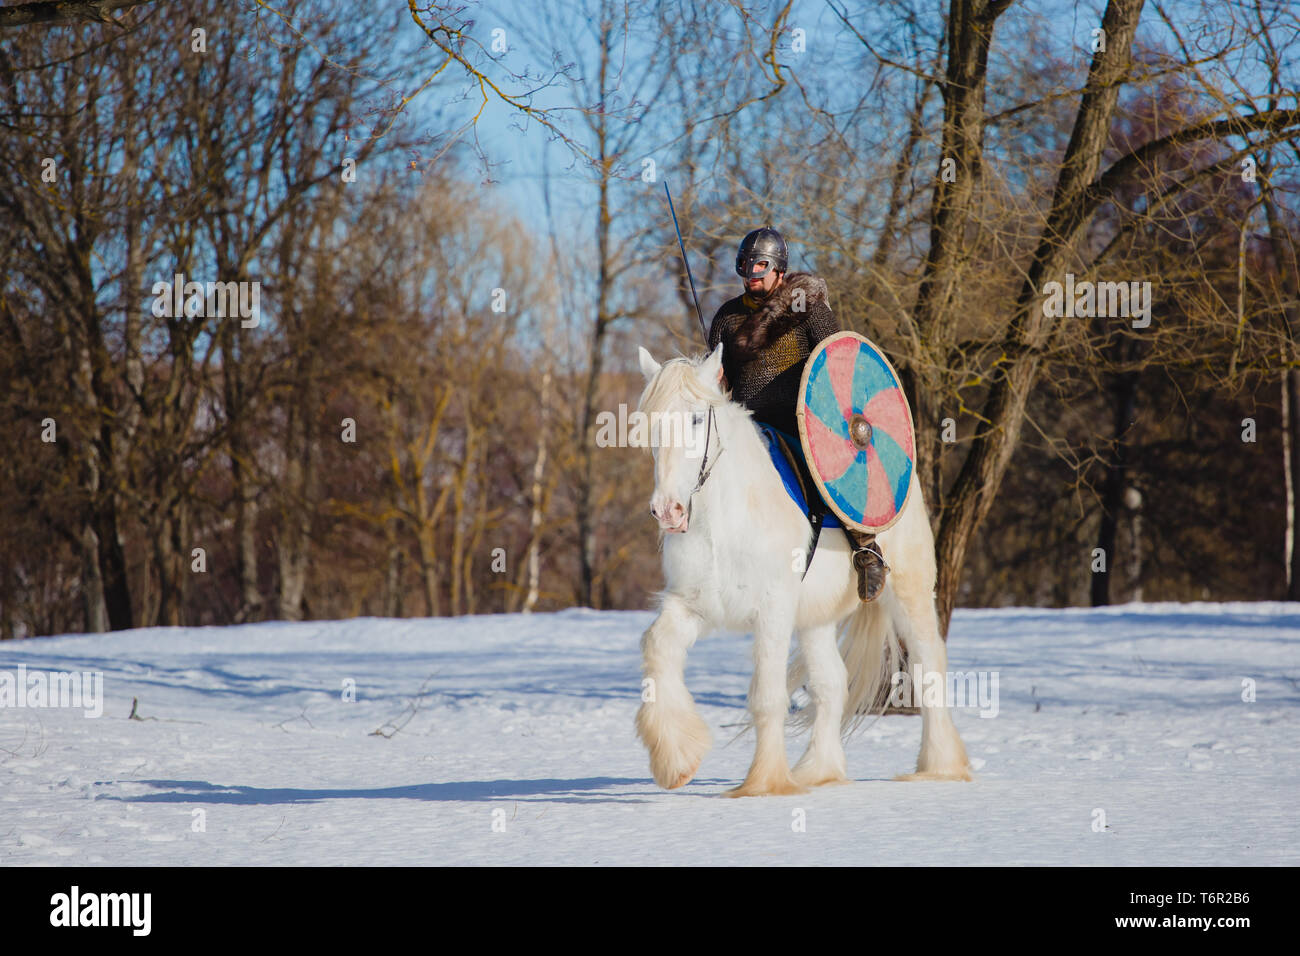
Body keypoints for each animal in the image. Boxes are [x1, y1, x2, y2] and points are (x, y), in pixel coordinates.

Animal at [634, 344, 972, 796]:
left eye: (695, 419)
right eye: (653, 424)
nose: (667, 511)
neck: (724, 520)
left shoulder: (772, 610)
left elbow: (767, 697)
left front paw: (764, 782)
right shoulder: (692, 607)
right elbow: (657, 649)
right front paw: (676, 761)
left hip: (909, 592)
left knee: (928, 663)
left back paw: (940, 766)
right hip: (815, 618)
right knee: (832, 683)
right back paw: (819, 771)